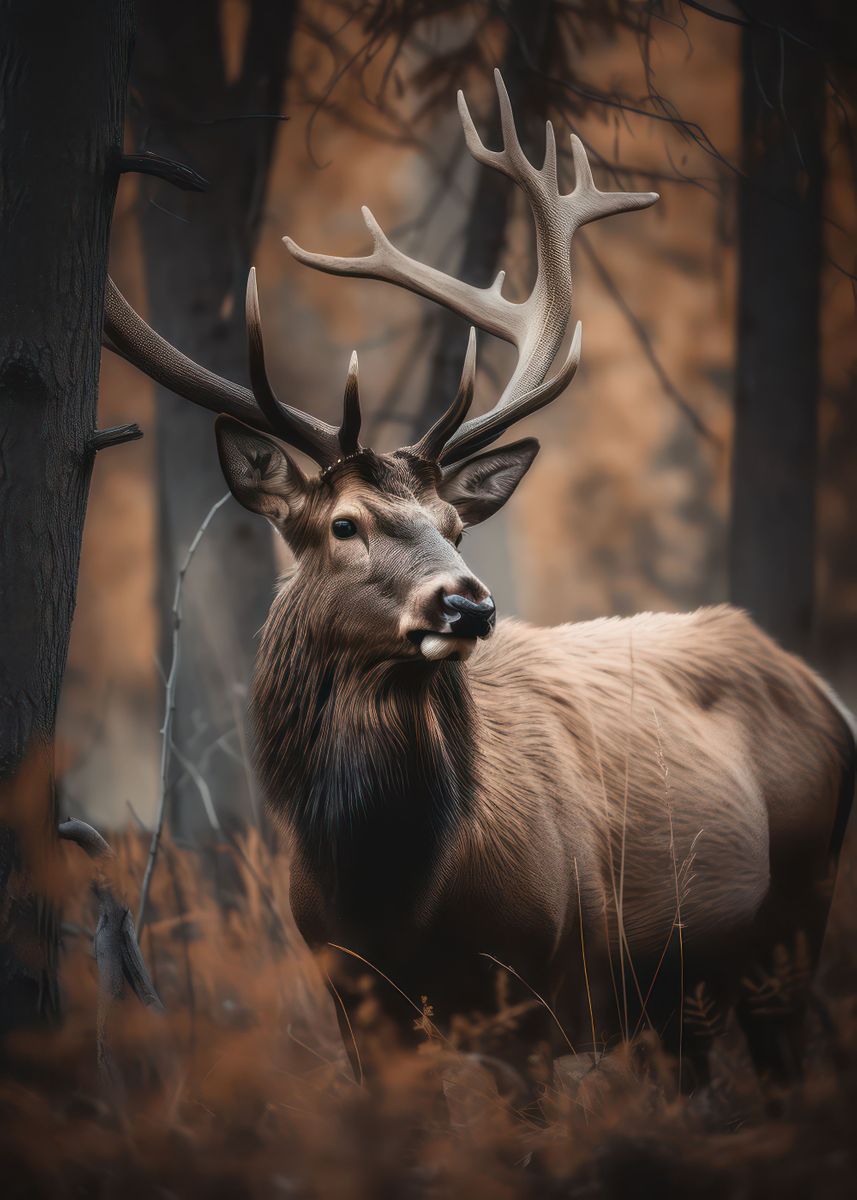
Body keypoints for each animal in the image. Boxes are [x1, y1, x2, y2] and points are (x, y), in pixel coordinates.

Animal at [105, 71, 853, 1096]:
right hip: (680, 1001)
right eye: (343, 525)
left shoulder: (528, 1003)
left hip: (795, 924)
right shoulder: (349, 1004)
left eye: (455, 525)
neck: (396, 897)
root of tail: (824, 694)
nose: (467, 601)